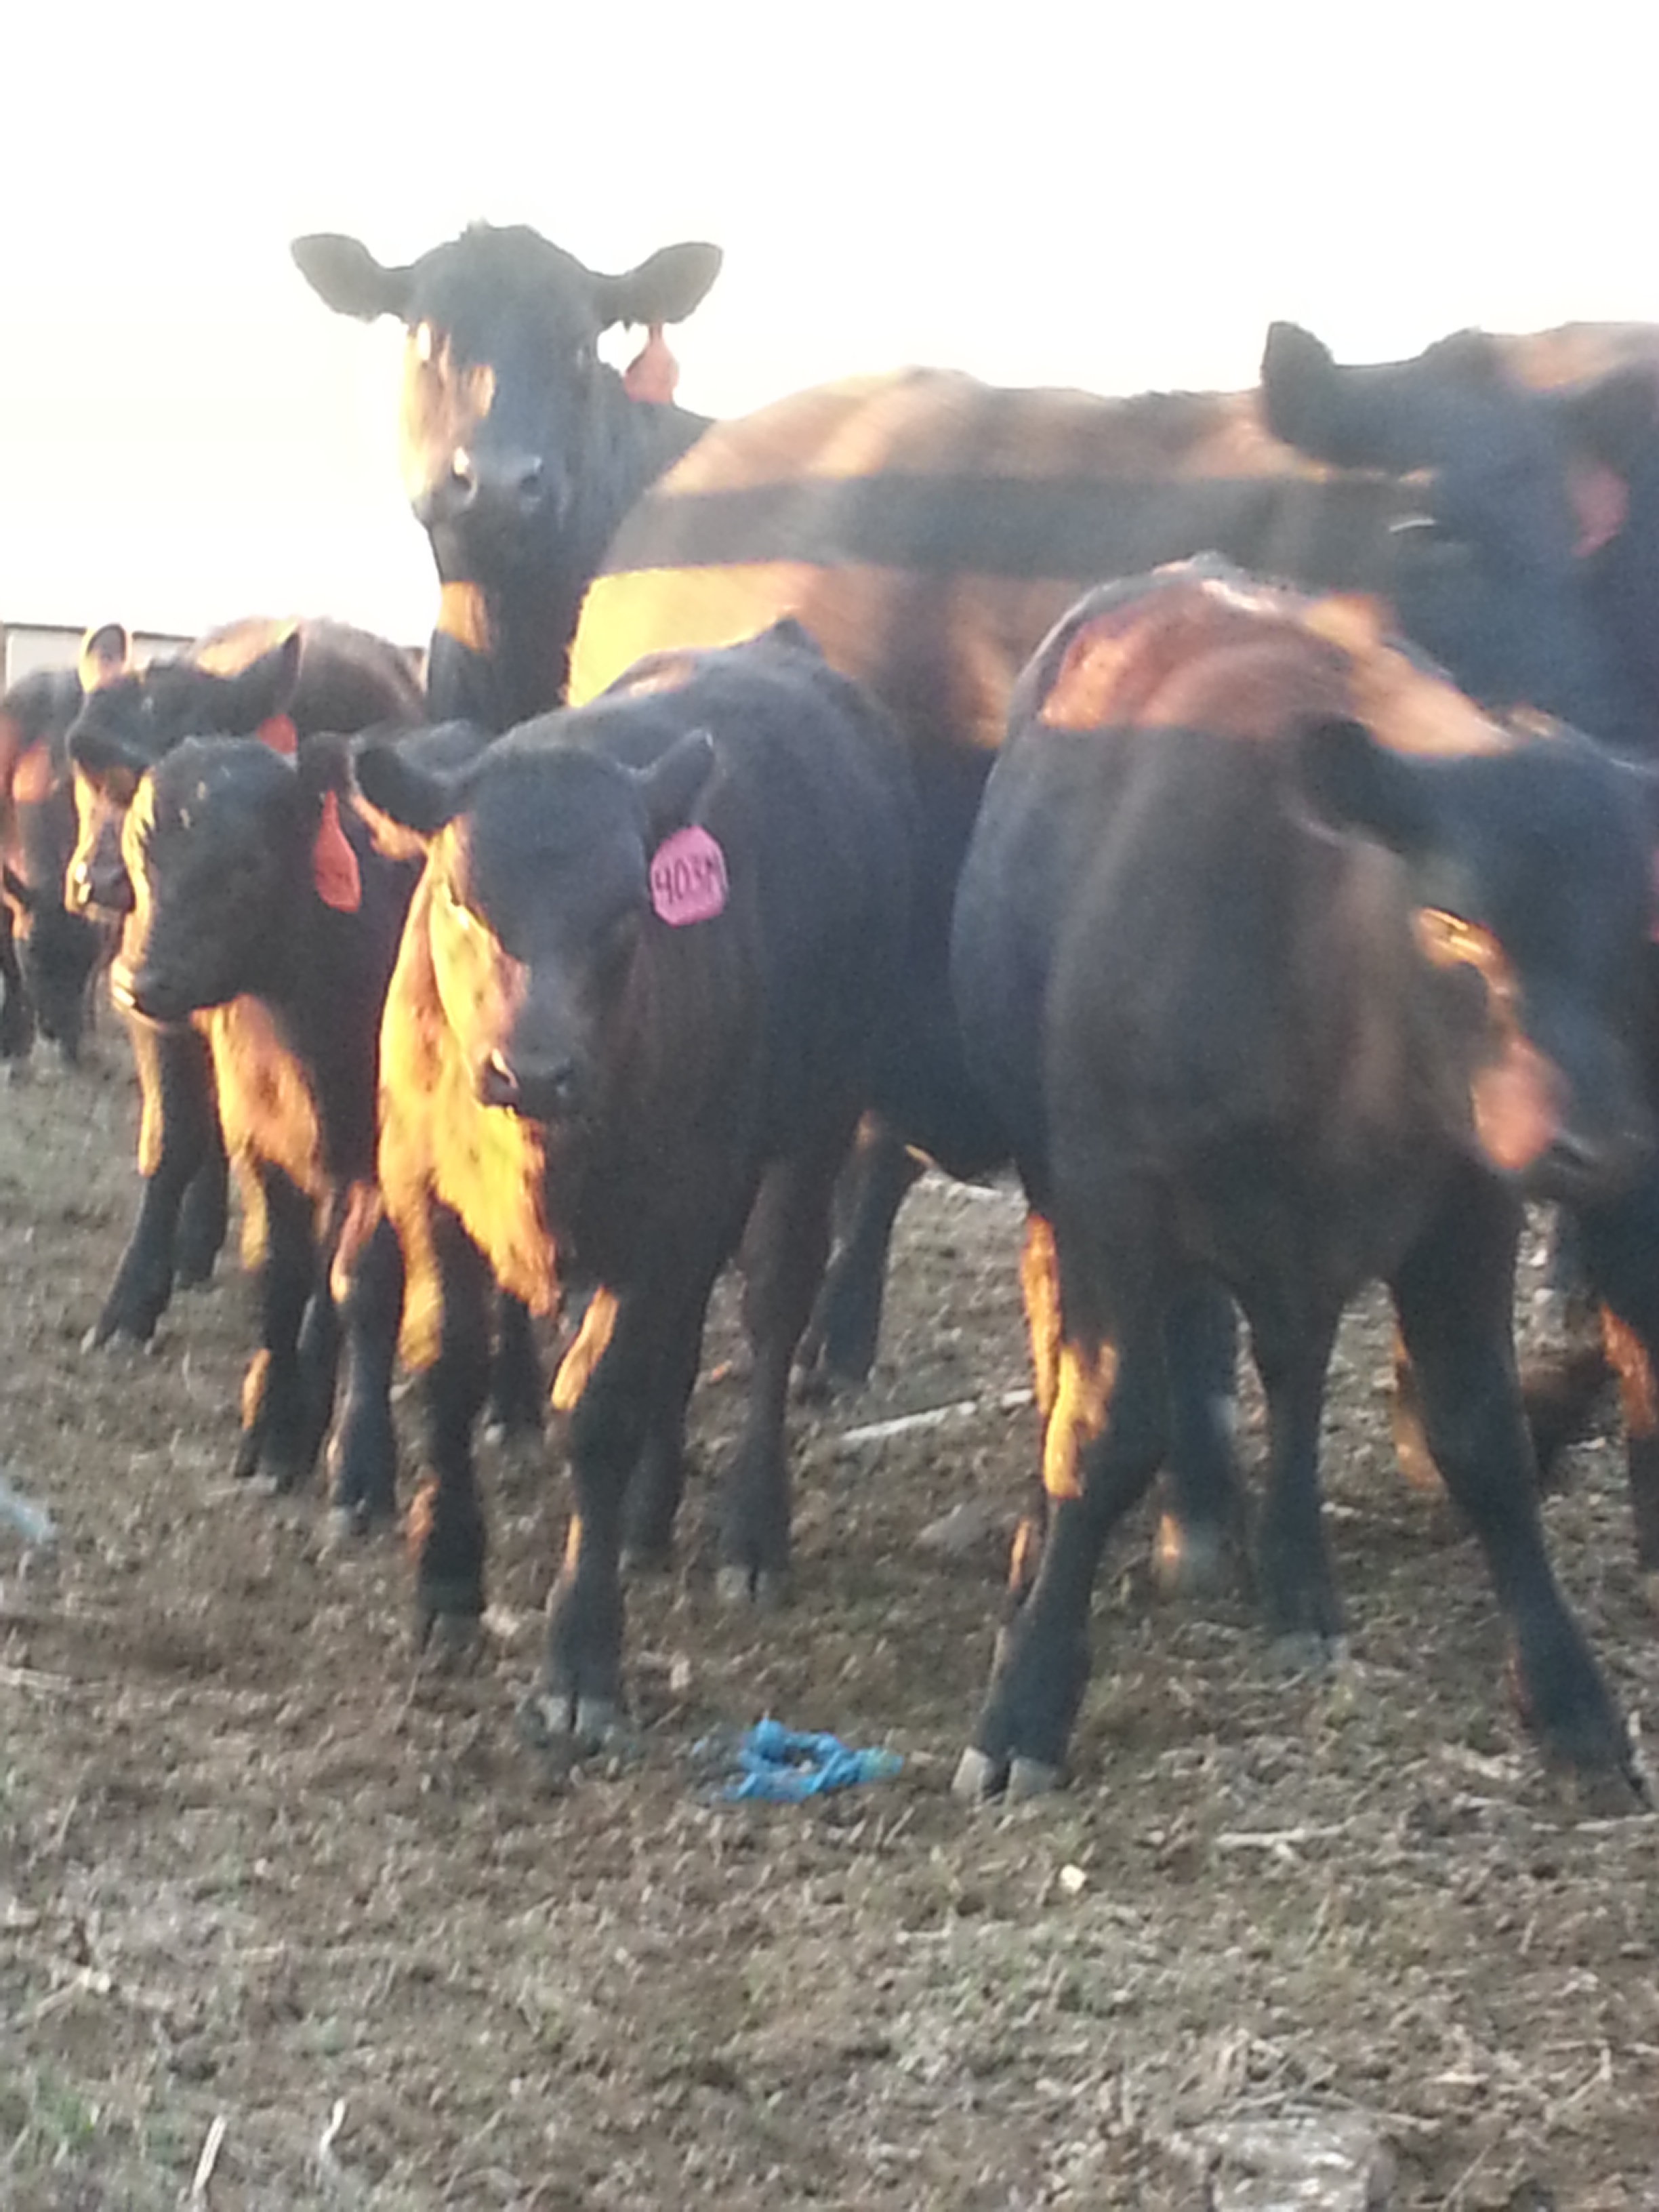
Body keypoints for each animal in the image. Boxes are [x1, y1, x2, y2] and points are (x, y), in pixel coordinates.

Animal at [355, 621, 913, 1734]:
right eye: (460, 899)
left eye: (626, 913)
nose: (532, 1069)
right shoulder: (420, 1183)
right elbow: (445, 1365)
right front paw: (445, 1580)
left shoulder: (672, 1205)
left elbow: (599, 1406)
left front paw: (581, 1654)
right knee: (686, 1333)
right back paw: (653, 1519)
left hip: (809, 1125)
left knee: (774, 1307)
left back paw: (750, 1533)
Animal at [946, 558, 1653, 1808]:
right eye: (1451, 922)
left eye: (1638, 926)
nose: (1591, 1143)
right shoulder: (1116, 1195)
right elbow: (1103, 1432)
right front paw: (1026, 1700)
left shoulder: (1465, 1208)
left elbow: (1482, 1437)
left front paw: (1569, 1695)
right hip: (1058, 1193)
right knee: (1070, 1351)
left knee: (1293, 1362)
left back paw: (1295, 1578)